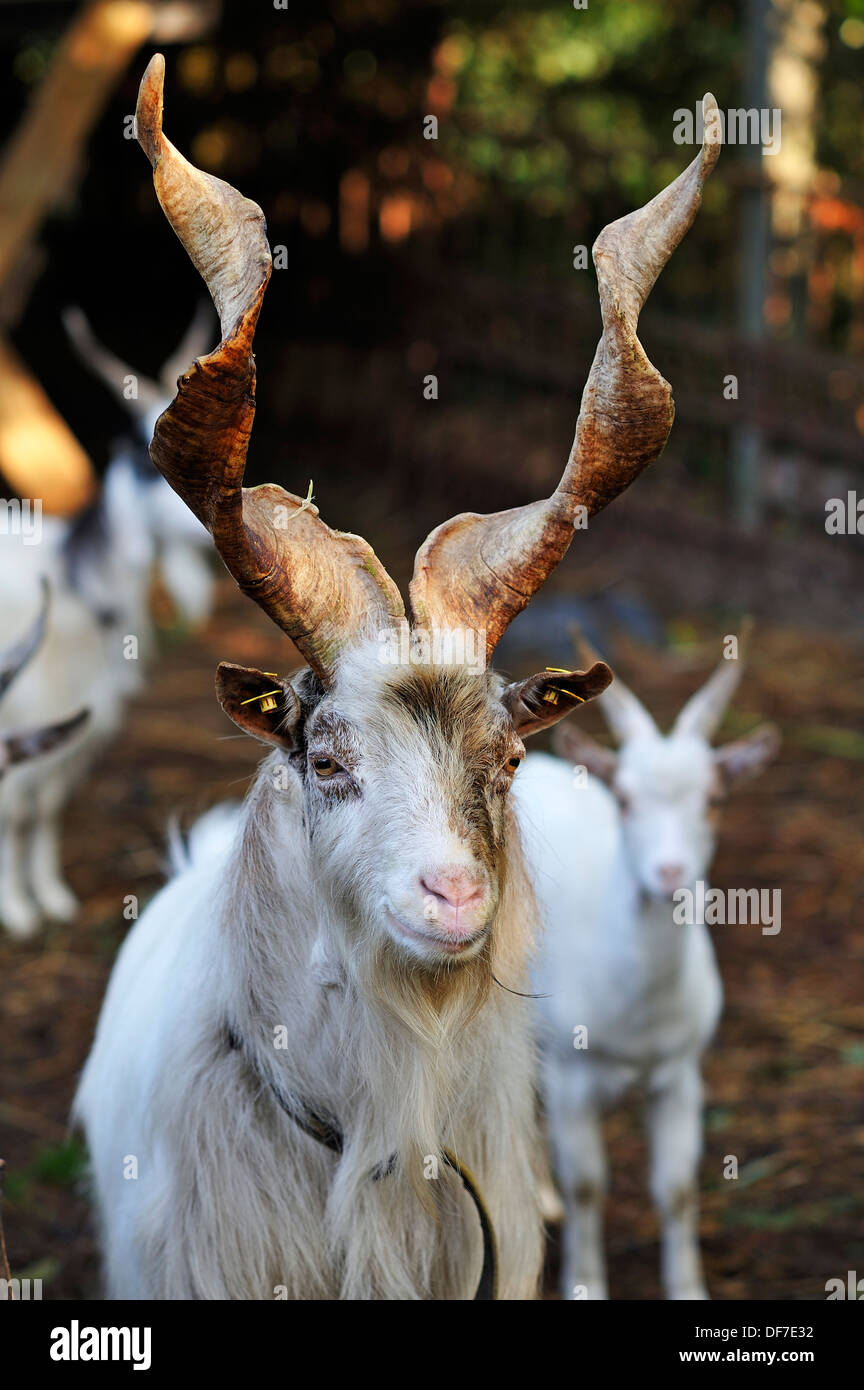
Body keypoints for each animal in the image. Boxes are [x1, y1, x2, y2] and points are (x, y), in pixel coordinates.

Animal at [0, 313, 215, 937]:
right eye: (148, 462)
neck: (75, 583)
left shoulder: (77, 715)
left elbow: (47, 808)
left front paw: (52, 896)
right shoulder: (26, 707)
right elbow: (16, 814)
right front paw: (16, 910)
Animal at [514, 638, 780, 1300]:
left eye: (714, 800)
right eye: (625, 799)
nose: (669, 874)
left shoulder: (681, 1073)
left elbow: (677, 1188)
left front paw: (688, 1288)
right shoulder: (574, 1074)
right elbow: (588, 1186)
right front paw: (584, 1285)